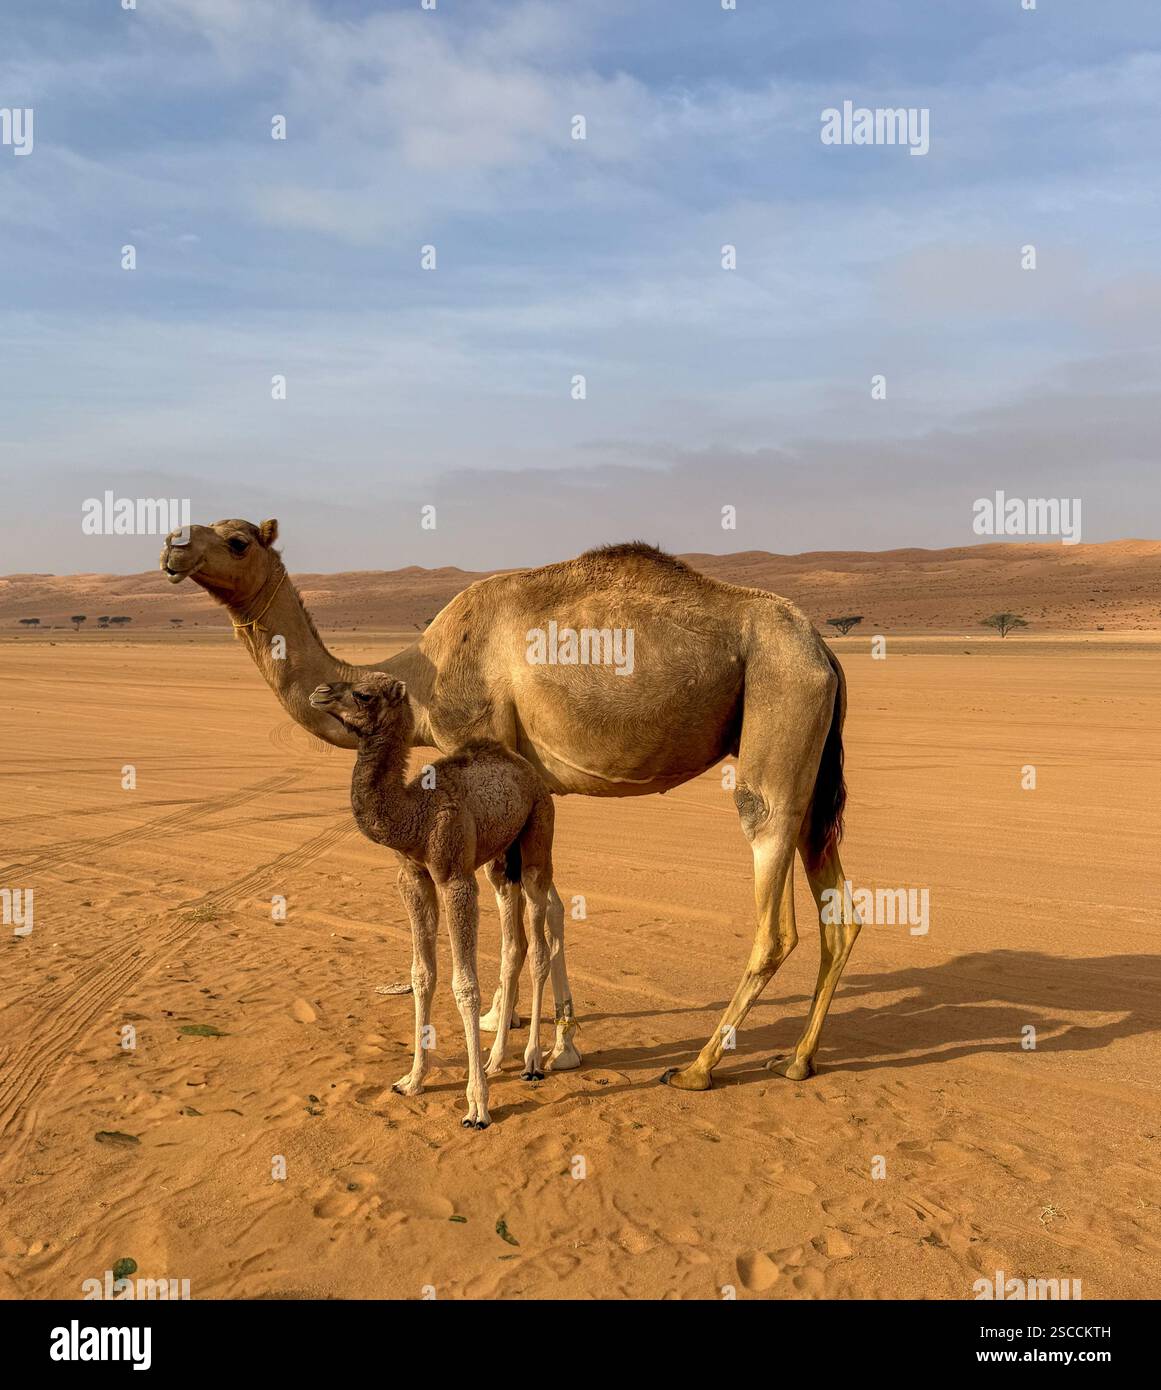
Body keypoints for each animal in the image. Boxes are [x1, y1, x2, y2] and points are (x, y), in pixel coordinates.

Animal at [309, 673, 556, 1129]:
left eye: (363, 693)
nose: (320, 693)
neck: (416, 816)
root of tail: (528, 770)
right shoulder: (413, 877)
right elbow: (422, 974)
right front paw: (411, 1080)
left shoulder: (455, 878)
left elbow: (465, 985)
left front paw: (478, 1106)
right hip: (500, 861)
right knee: (513, 945)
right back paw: (497, 1059)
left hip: (537, 836)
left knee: (539, 945)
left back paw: (531, 1061)